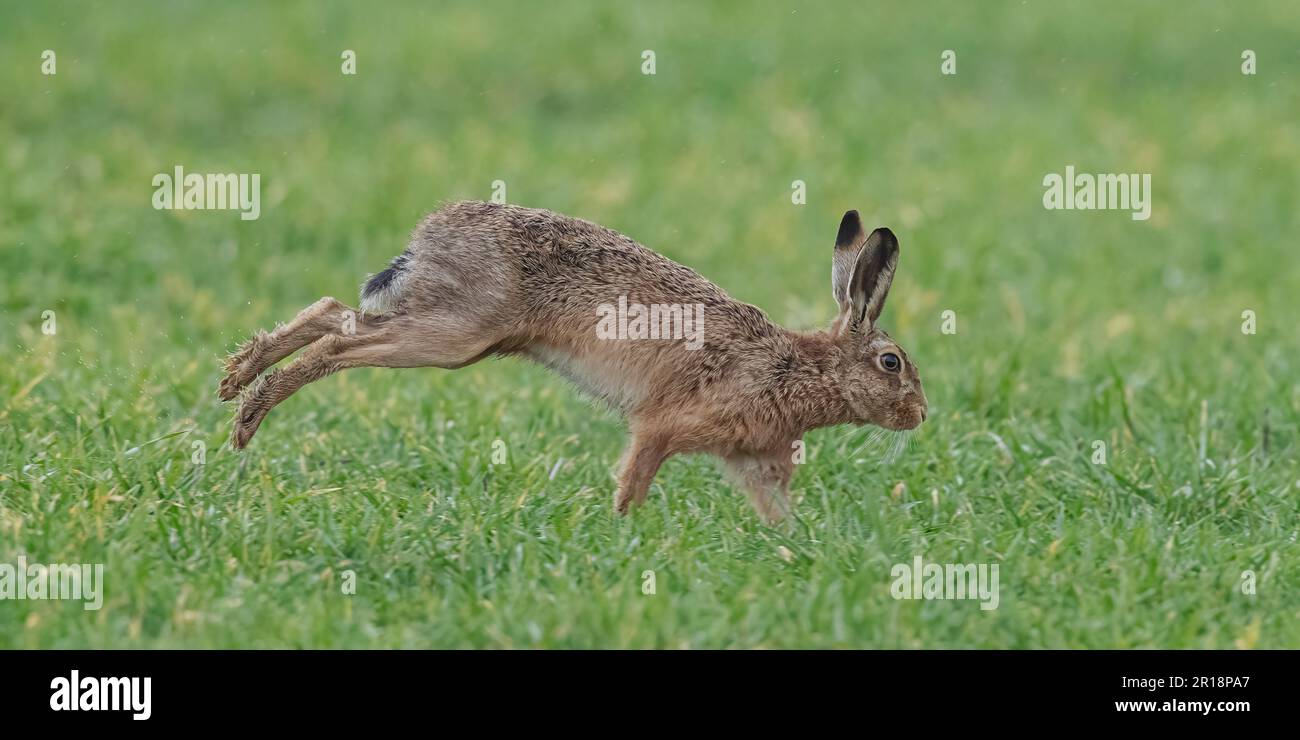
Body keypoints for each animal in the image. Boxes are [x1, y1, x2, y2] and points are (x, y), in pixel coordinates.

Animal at [218, 201, 927, 522]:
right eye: (892, 363)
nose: (921, 414)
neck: (796, 366)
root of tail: (429, 233)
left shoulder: (754, 459)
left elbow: (775, 506)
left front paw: (797, 542)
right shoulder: (662, 427)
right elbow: (636, 477)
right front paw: (621, 529)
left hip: (446, 326)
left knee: (334, 311)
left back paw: (235, 382)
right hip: (453, 335)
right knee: (340, 342)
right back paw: (249, 412)